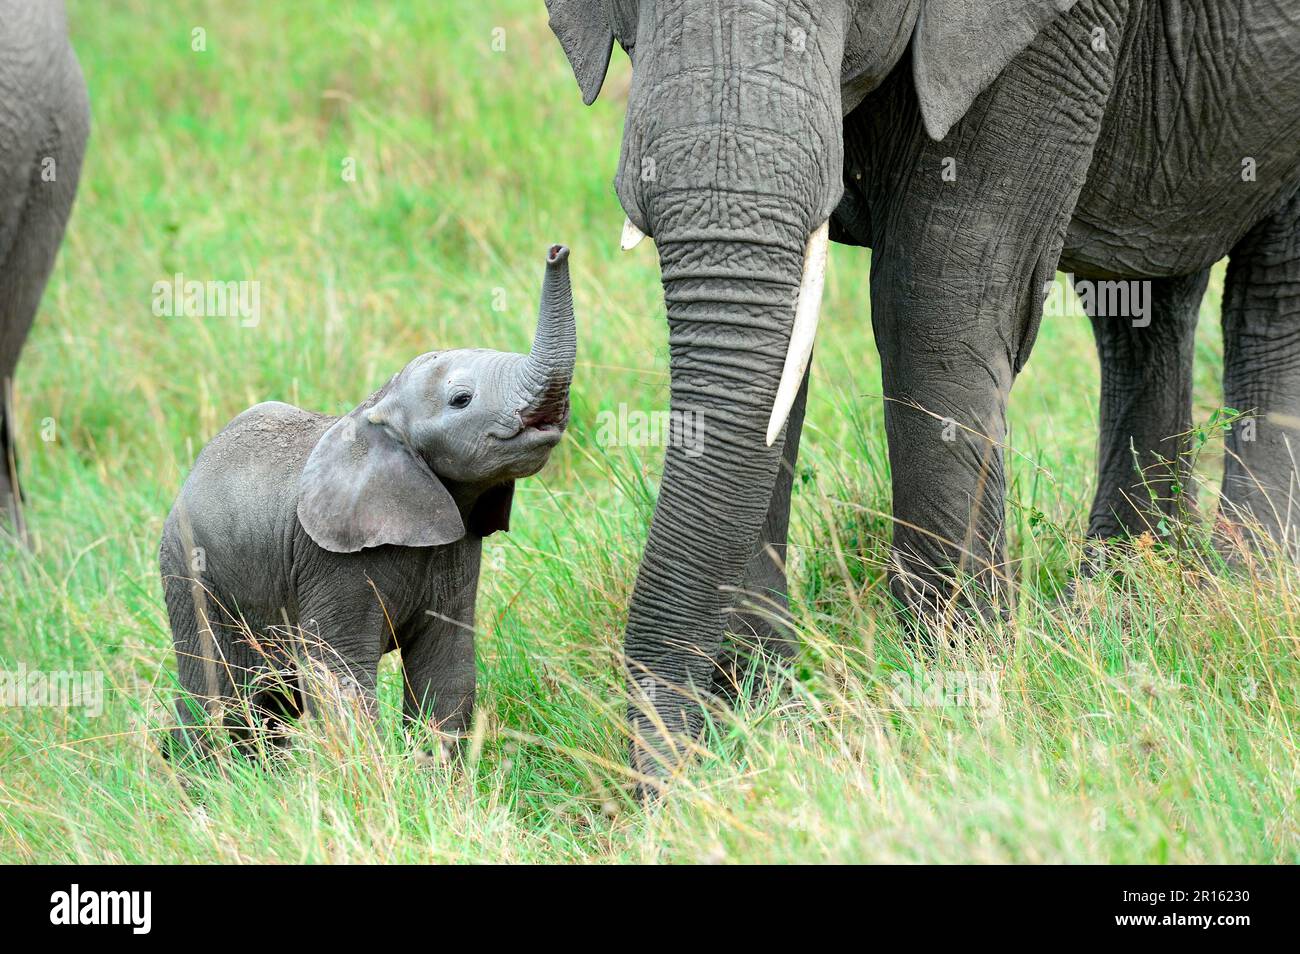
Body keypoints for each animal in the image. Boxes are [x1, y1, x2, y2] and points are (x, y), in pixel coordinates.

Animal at [160, 245, 576, 759]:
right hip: (189, 571)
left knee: (268, 701)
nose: (557, 251)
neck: (379, 404)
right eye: (462, 399)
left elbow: (447, 669)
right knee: (218, 693)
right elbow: (338, 676)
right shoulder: (328, 558)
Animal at [544, 0, 1300, 779]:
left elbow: (933, 303)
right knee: (1145, 298)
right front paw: (764, 714)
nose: (669, 782)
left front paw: (955, 708)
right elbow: (785, 357)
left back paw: (1245, 585)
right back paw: (1128, 596)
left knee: (1271, 294)